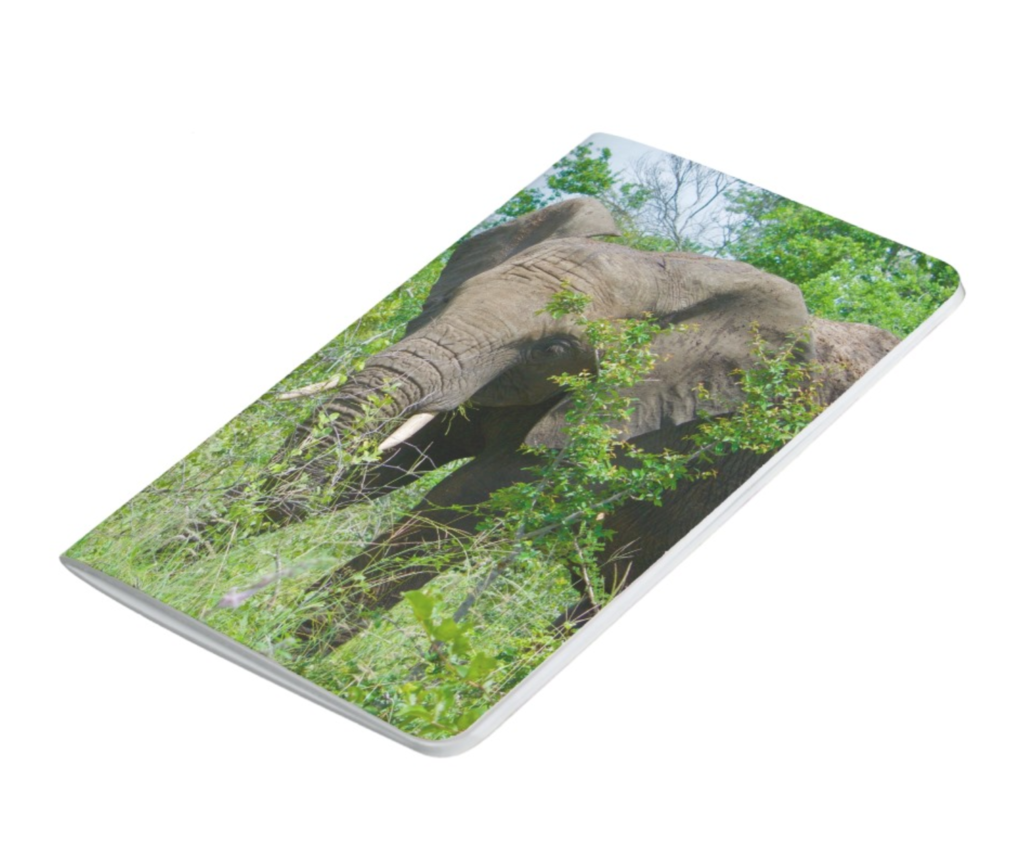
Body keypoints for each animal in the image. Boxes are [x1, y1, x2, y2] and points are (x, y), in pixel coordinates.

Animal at [250, 197, 898, 649]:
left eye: (554, 348)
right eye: (457, 294)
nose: (283, 501)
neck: (672, 271)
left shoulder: (656, 423)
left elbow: (461, 501)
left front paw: (281, 644)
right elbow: (413, 456)